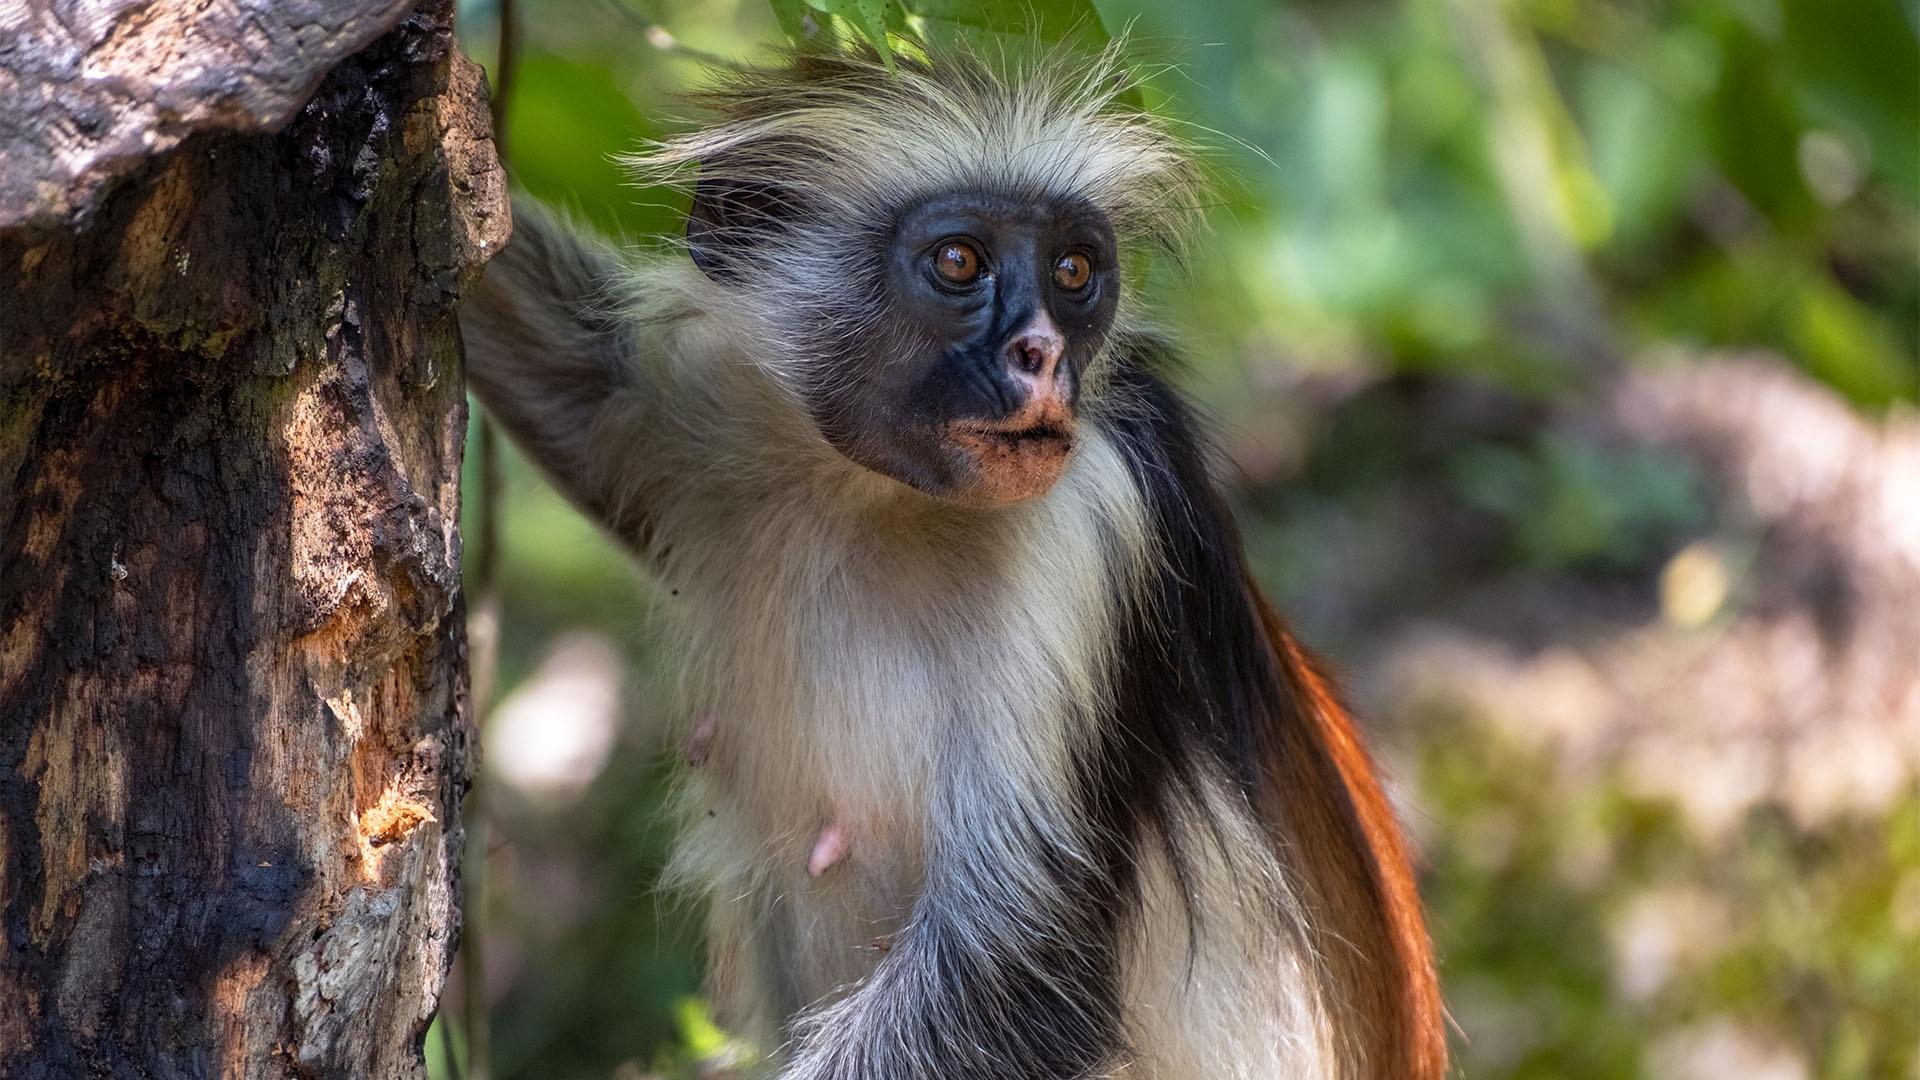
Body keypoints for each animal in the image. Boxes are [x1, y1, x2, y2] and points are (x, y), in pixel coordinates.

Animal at [459, 44, 1445, 1080]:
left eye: (1073, 271)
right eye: (960, 262)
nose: (1043, 353)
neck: (873, 496)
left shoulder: (1095, 524)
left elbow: (1019, 977)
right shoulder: (704, 407)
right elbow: (574, 378)